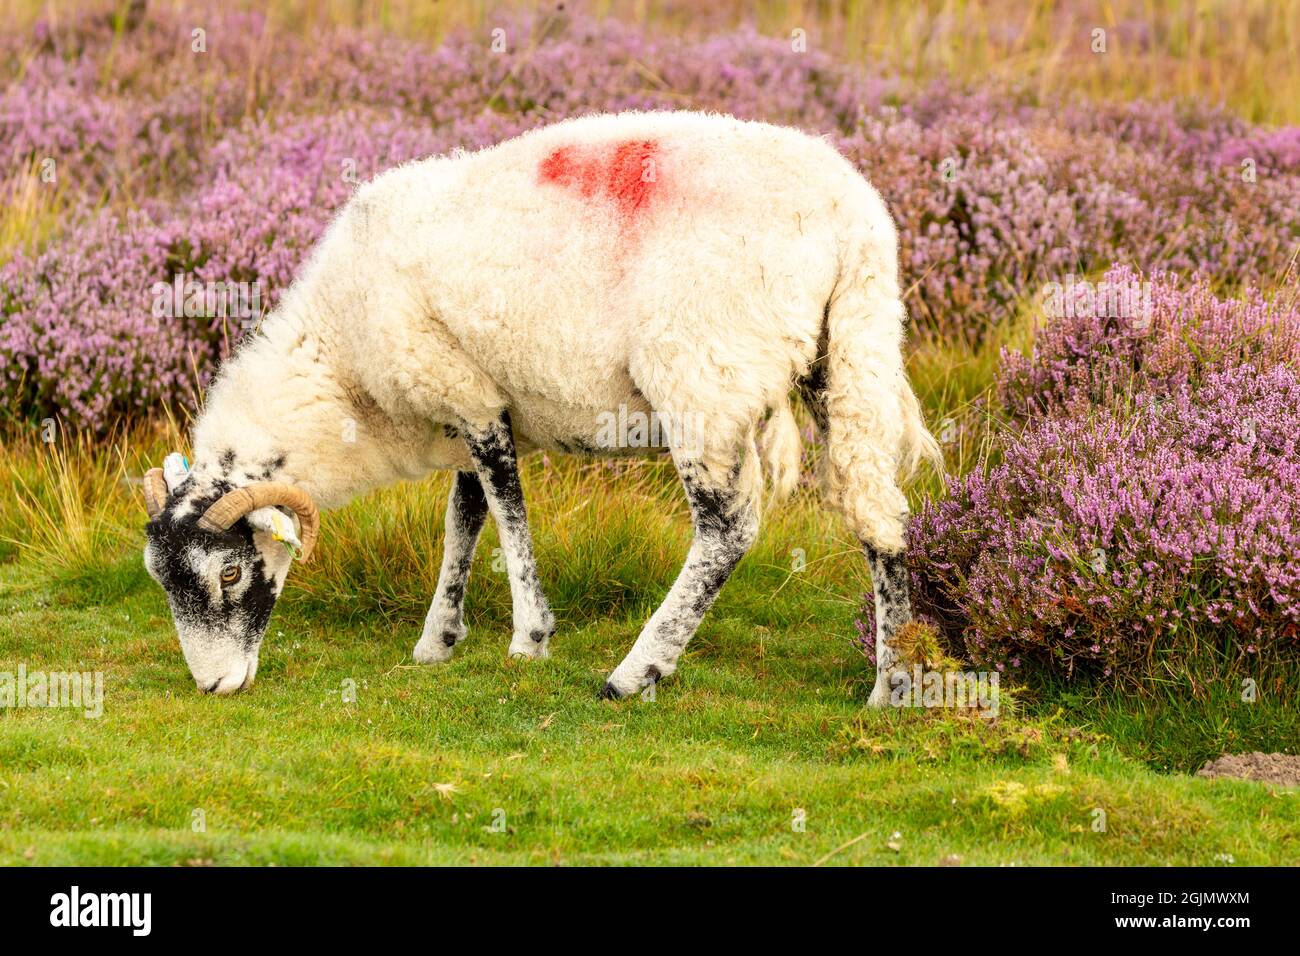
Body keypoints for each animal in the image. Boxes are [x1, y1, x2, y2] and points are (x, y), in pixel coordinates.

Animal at [141, 110, 941, 702]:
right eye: (161, 578)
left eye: (230, 573)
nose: (215, 686)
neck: (340, 364)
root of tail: (854, 220)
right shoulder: (471, 401)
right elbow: (462, 521)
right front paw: (438, 640)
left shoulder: (467, 395)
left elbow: (507, 515)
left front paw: (529, 639)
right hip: (848, 355)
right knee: (878, 514)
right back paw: (892, 683)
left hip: (704, 379)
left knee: (728, 530)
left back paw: (636, 672)